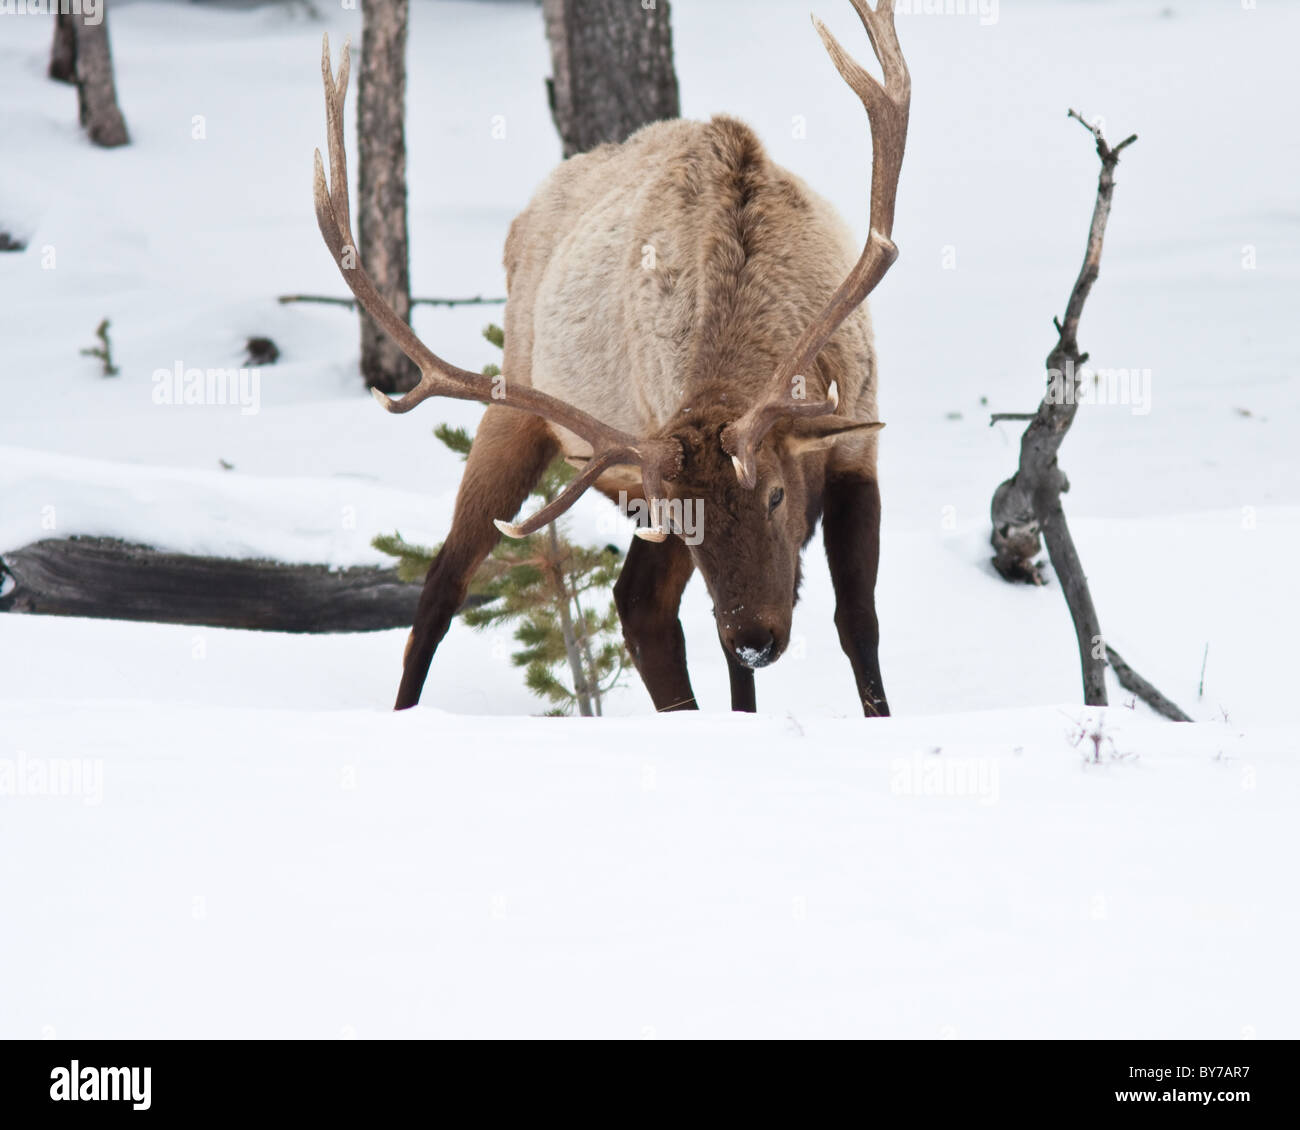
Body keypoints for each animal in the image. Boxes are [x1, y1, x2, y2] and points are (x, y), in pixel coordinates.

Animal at [311, 0, 910, 716]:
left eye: (774, 494)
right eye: (689, 520)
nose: (757, 641)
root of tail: (522, 219)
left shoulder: (857, 444)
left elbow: (859, 624)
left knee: (641, 606)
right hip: (517, 409)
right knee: (449, 585)